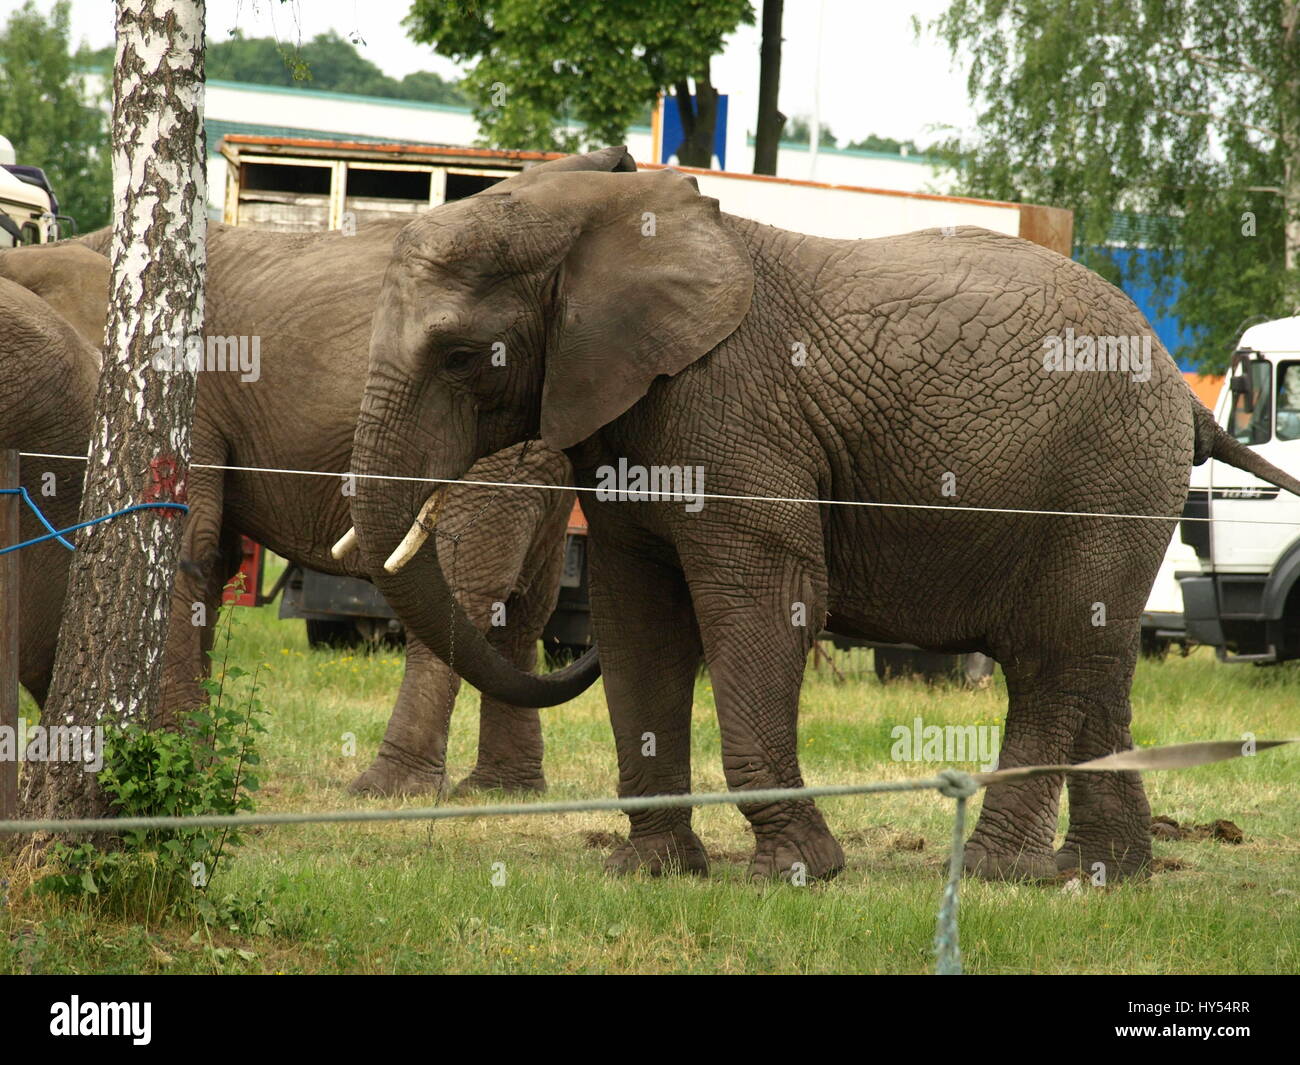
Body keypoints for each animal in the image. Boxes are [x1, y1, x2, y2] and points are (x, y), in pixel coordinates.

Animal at [0, 149, 644, 795]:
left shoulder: (185, 392)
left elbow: (187, 546)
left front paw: (180, 762)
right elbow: (210, 560)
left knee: (468, 589)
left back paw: (389, 789)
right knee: (526, 605)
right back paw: (499, 791)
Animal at [344, 158, 1300, 882]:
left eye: (462, 357)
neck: (596, 214)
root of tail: (1184, 389)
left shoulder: (735, 413)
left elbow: (760, 600)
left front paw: (796, 873)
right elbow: (637, 615)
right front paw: (650, 871)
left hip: (1106, 474)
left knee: (1052, 655)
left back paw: (995, 872)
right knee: (1100, 660)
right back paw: (1099, 875)